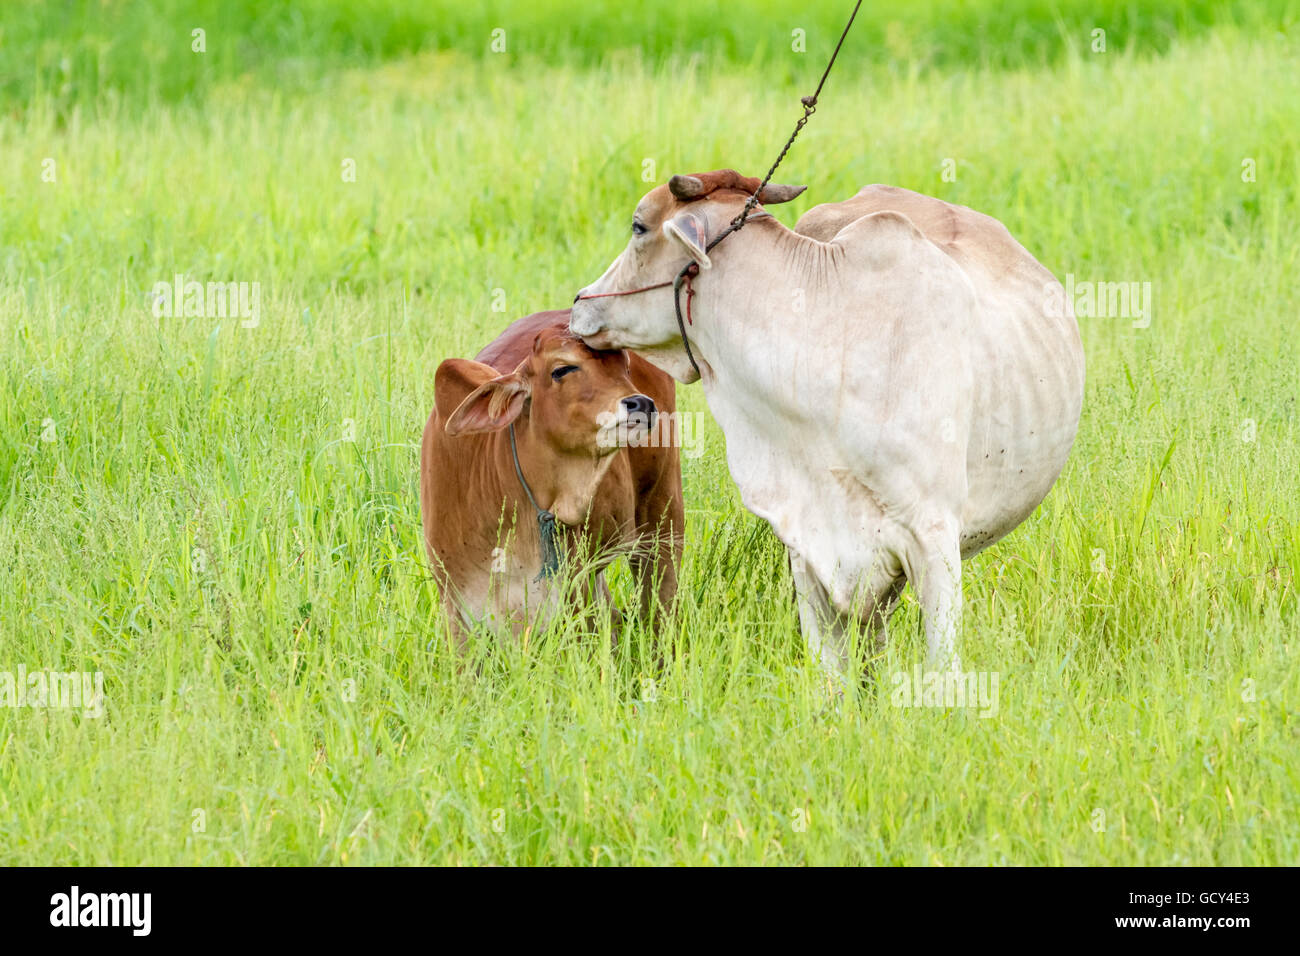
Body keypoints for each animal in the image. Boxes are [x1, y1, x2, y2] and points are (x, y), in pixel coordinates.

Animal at [420, 309, 683, 651]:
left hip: (662, 512)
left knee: (660, 607)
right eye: (562, 369)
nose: (642, 403)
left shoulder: (572, 594)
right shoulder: (456, 611)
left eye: (625, 367)